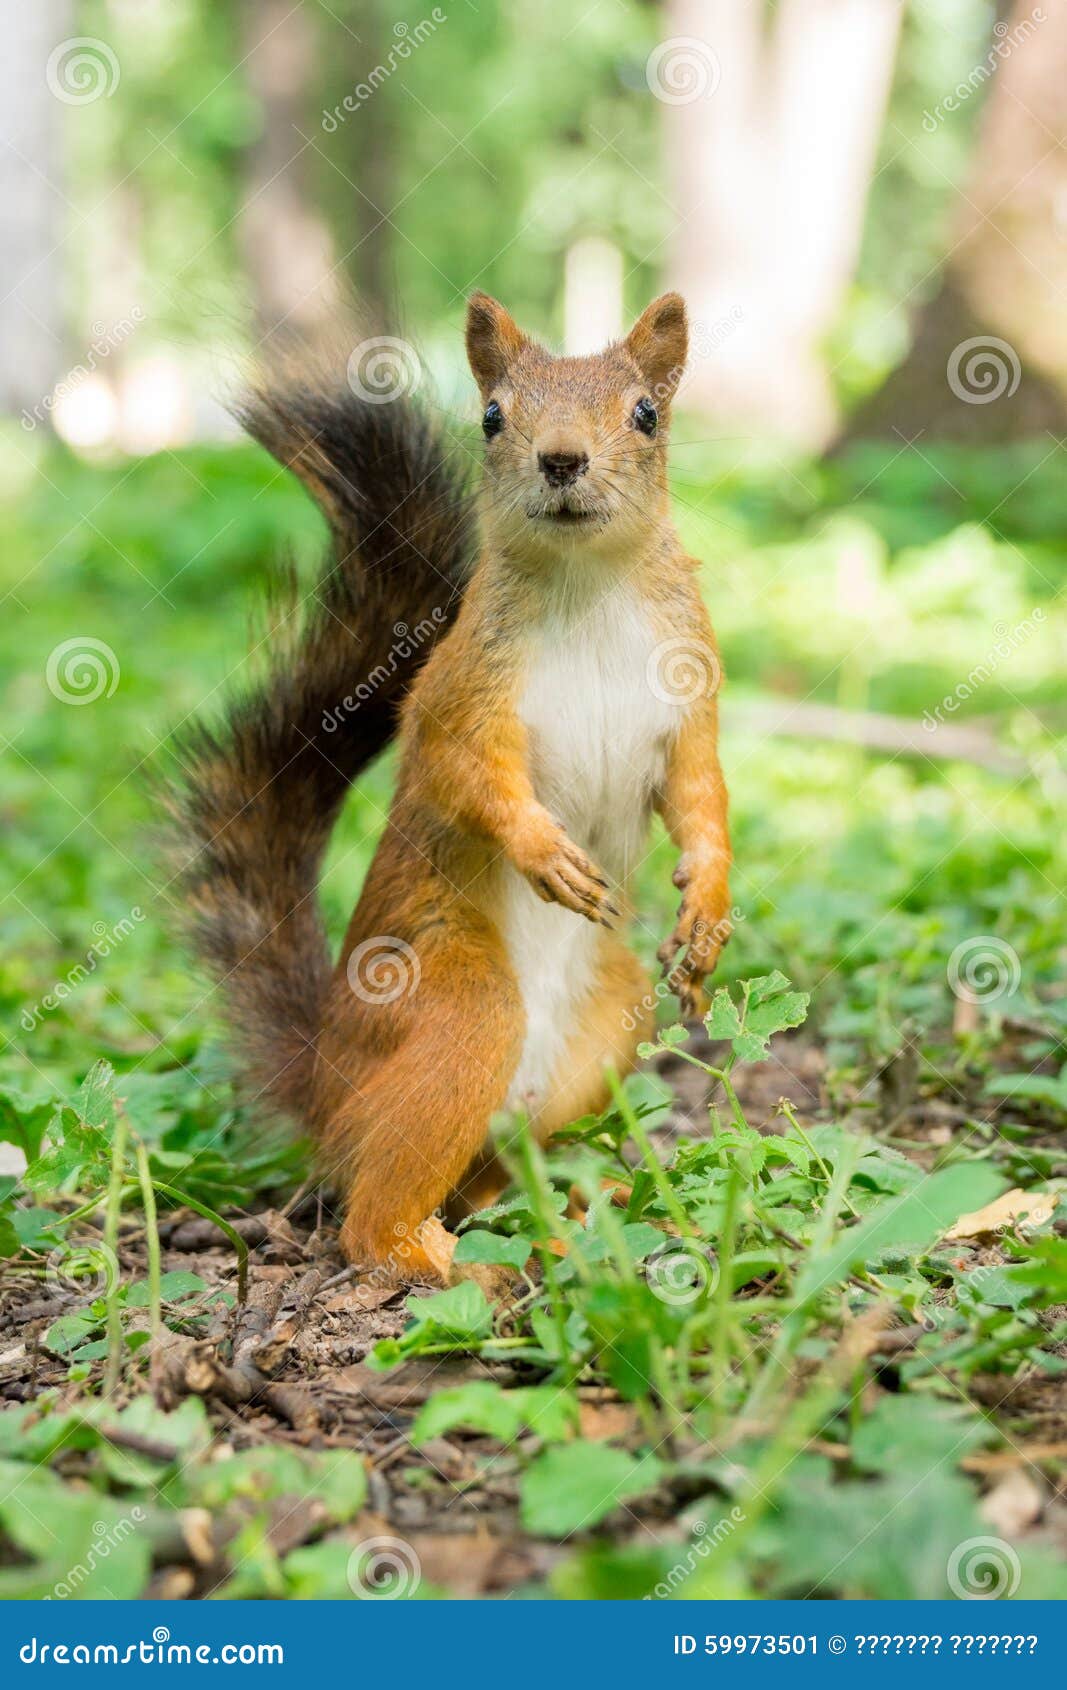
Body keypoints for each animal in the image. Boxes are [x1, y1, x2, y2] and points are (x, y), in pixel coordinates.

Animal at [168, 292, 731, 1285]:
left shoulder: (687, 696)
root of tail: (326, 1079)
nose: (560, 459)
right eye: (492, 417)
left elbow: (701, 795)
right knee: (377, 1209)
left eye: (645, 414)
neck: (586, 583)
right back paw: (438, 1257)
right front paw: (543, 851)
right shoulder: (457, 693)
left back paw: (577, 1210)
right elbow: (461, 774)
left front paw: (707, 908)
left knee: (494, 1173)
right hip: (443, 999)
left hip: (607, 1024)